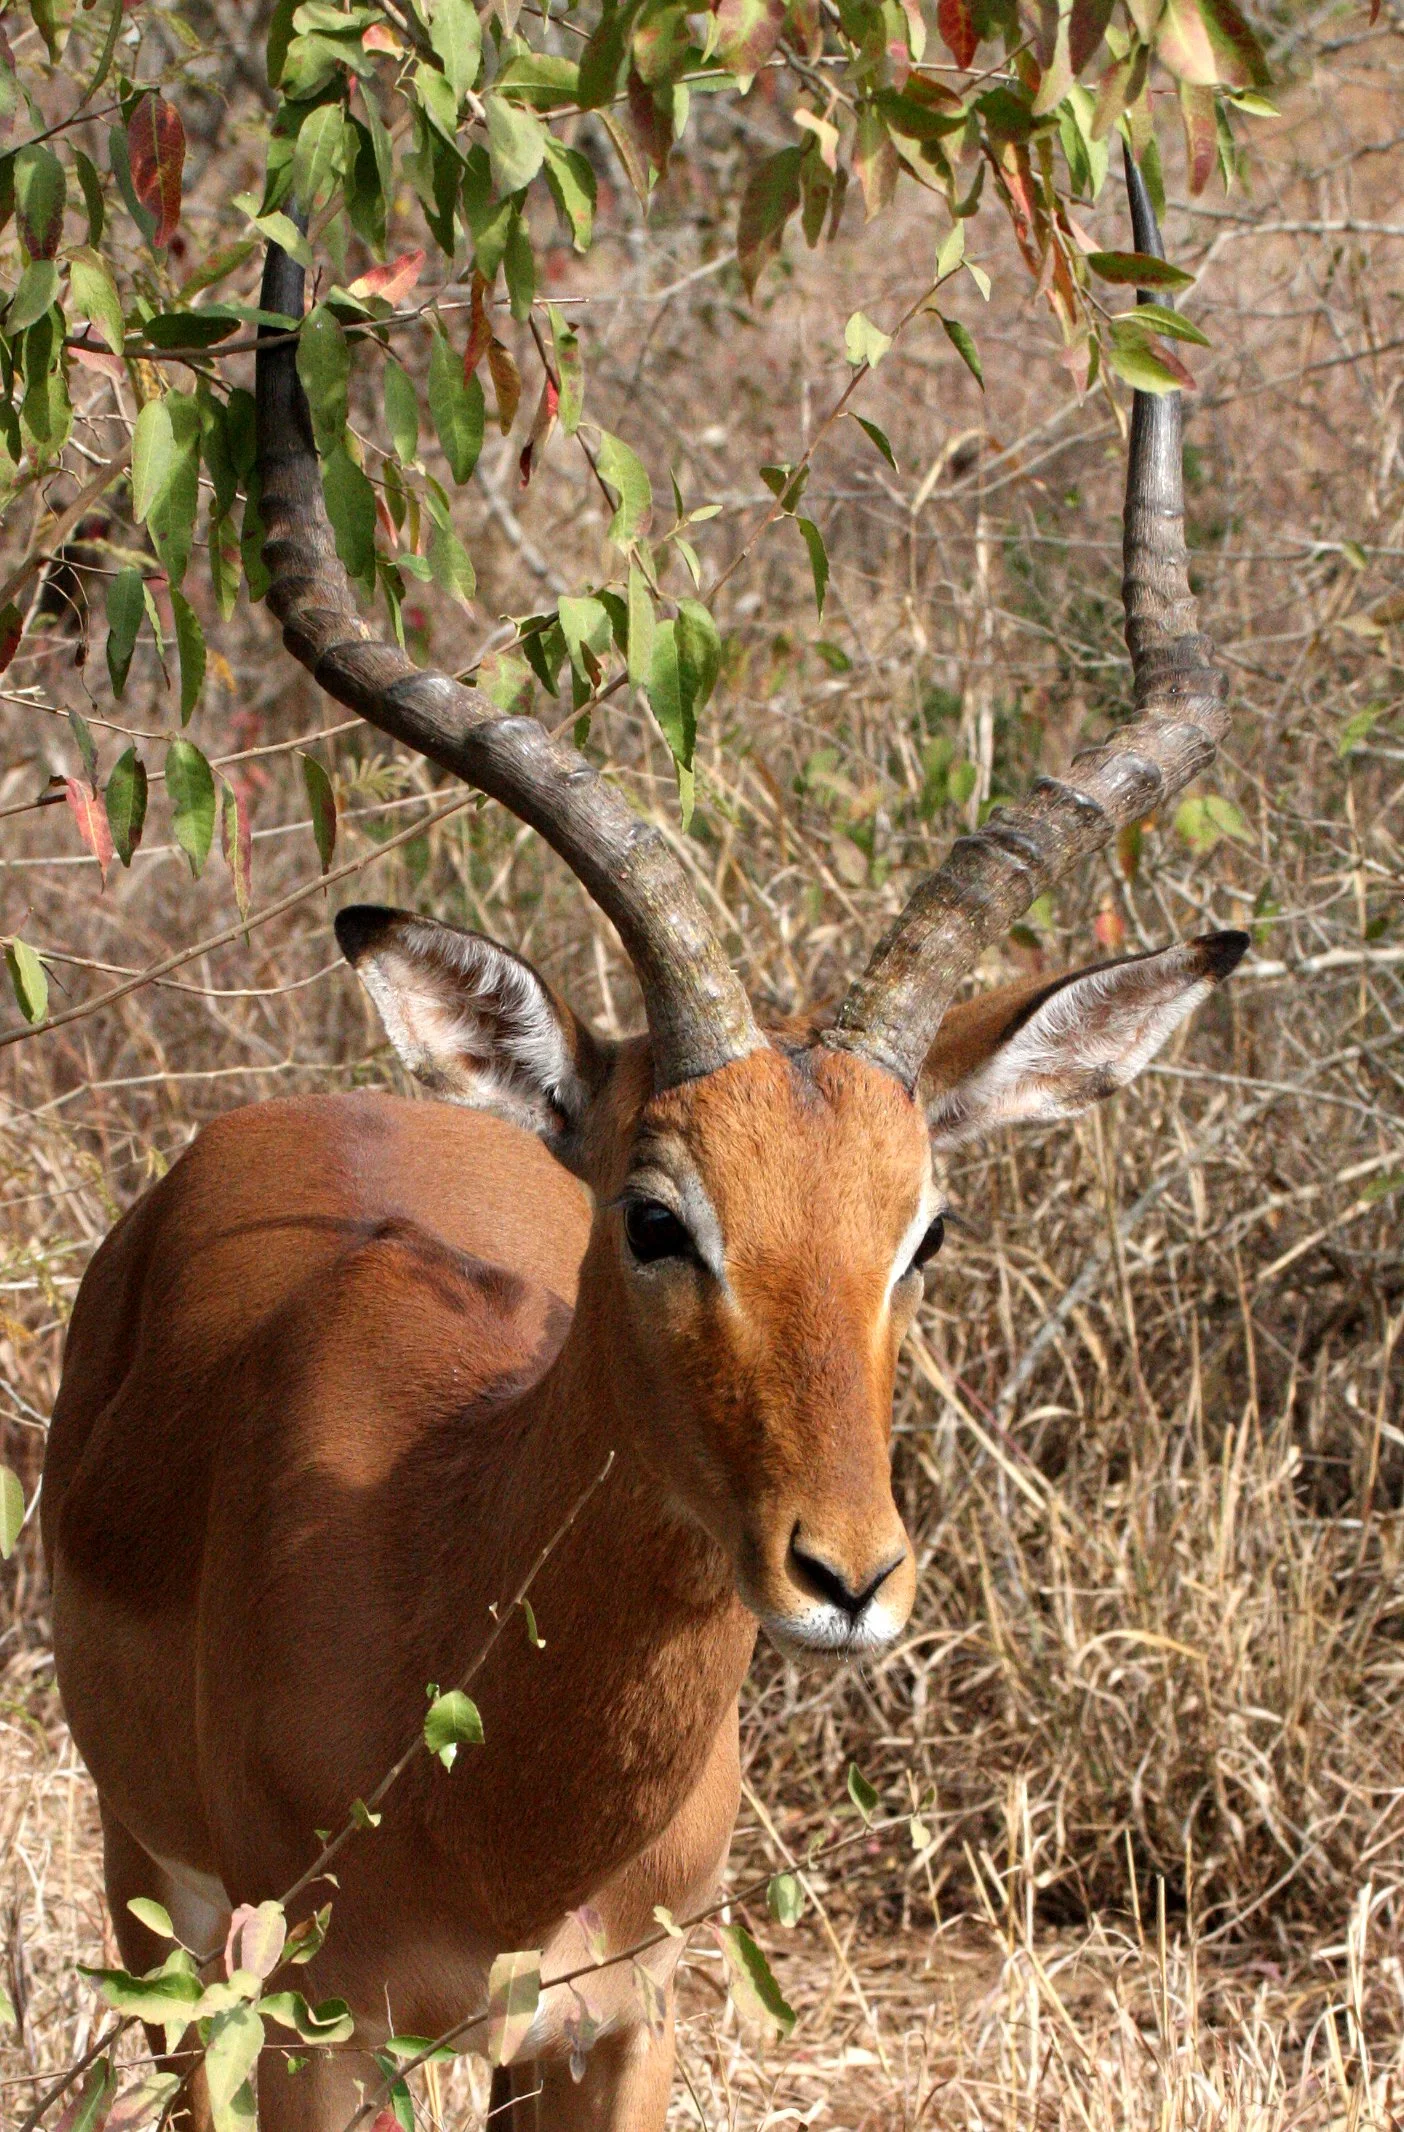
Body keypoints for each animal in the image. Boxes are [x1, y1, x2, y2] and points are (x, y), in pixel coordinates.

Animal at [44, 151, 1245, 2131]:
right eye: (657, 1216)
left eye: (922, 1230)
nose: (847, 1576)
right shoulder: (320, 2034)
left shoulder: (622, 2022)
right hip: (159, 1909)